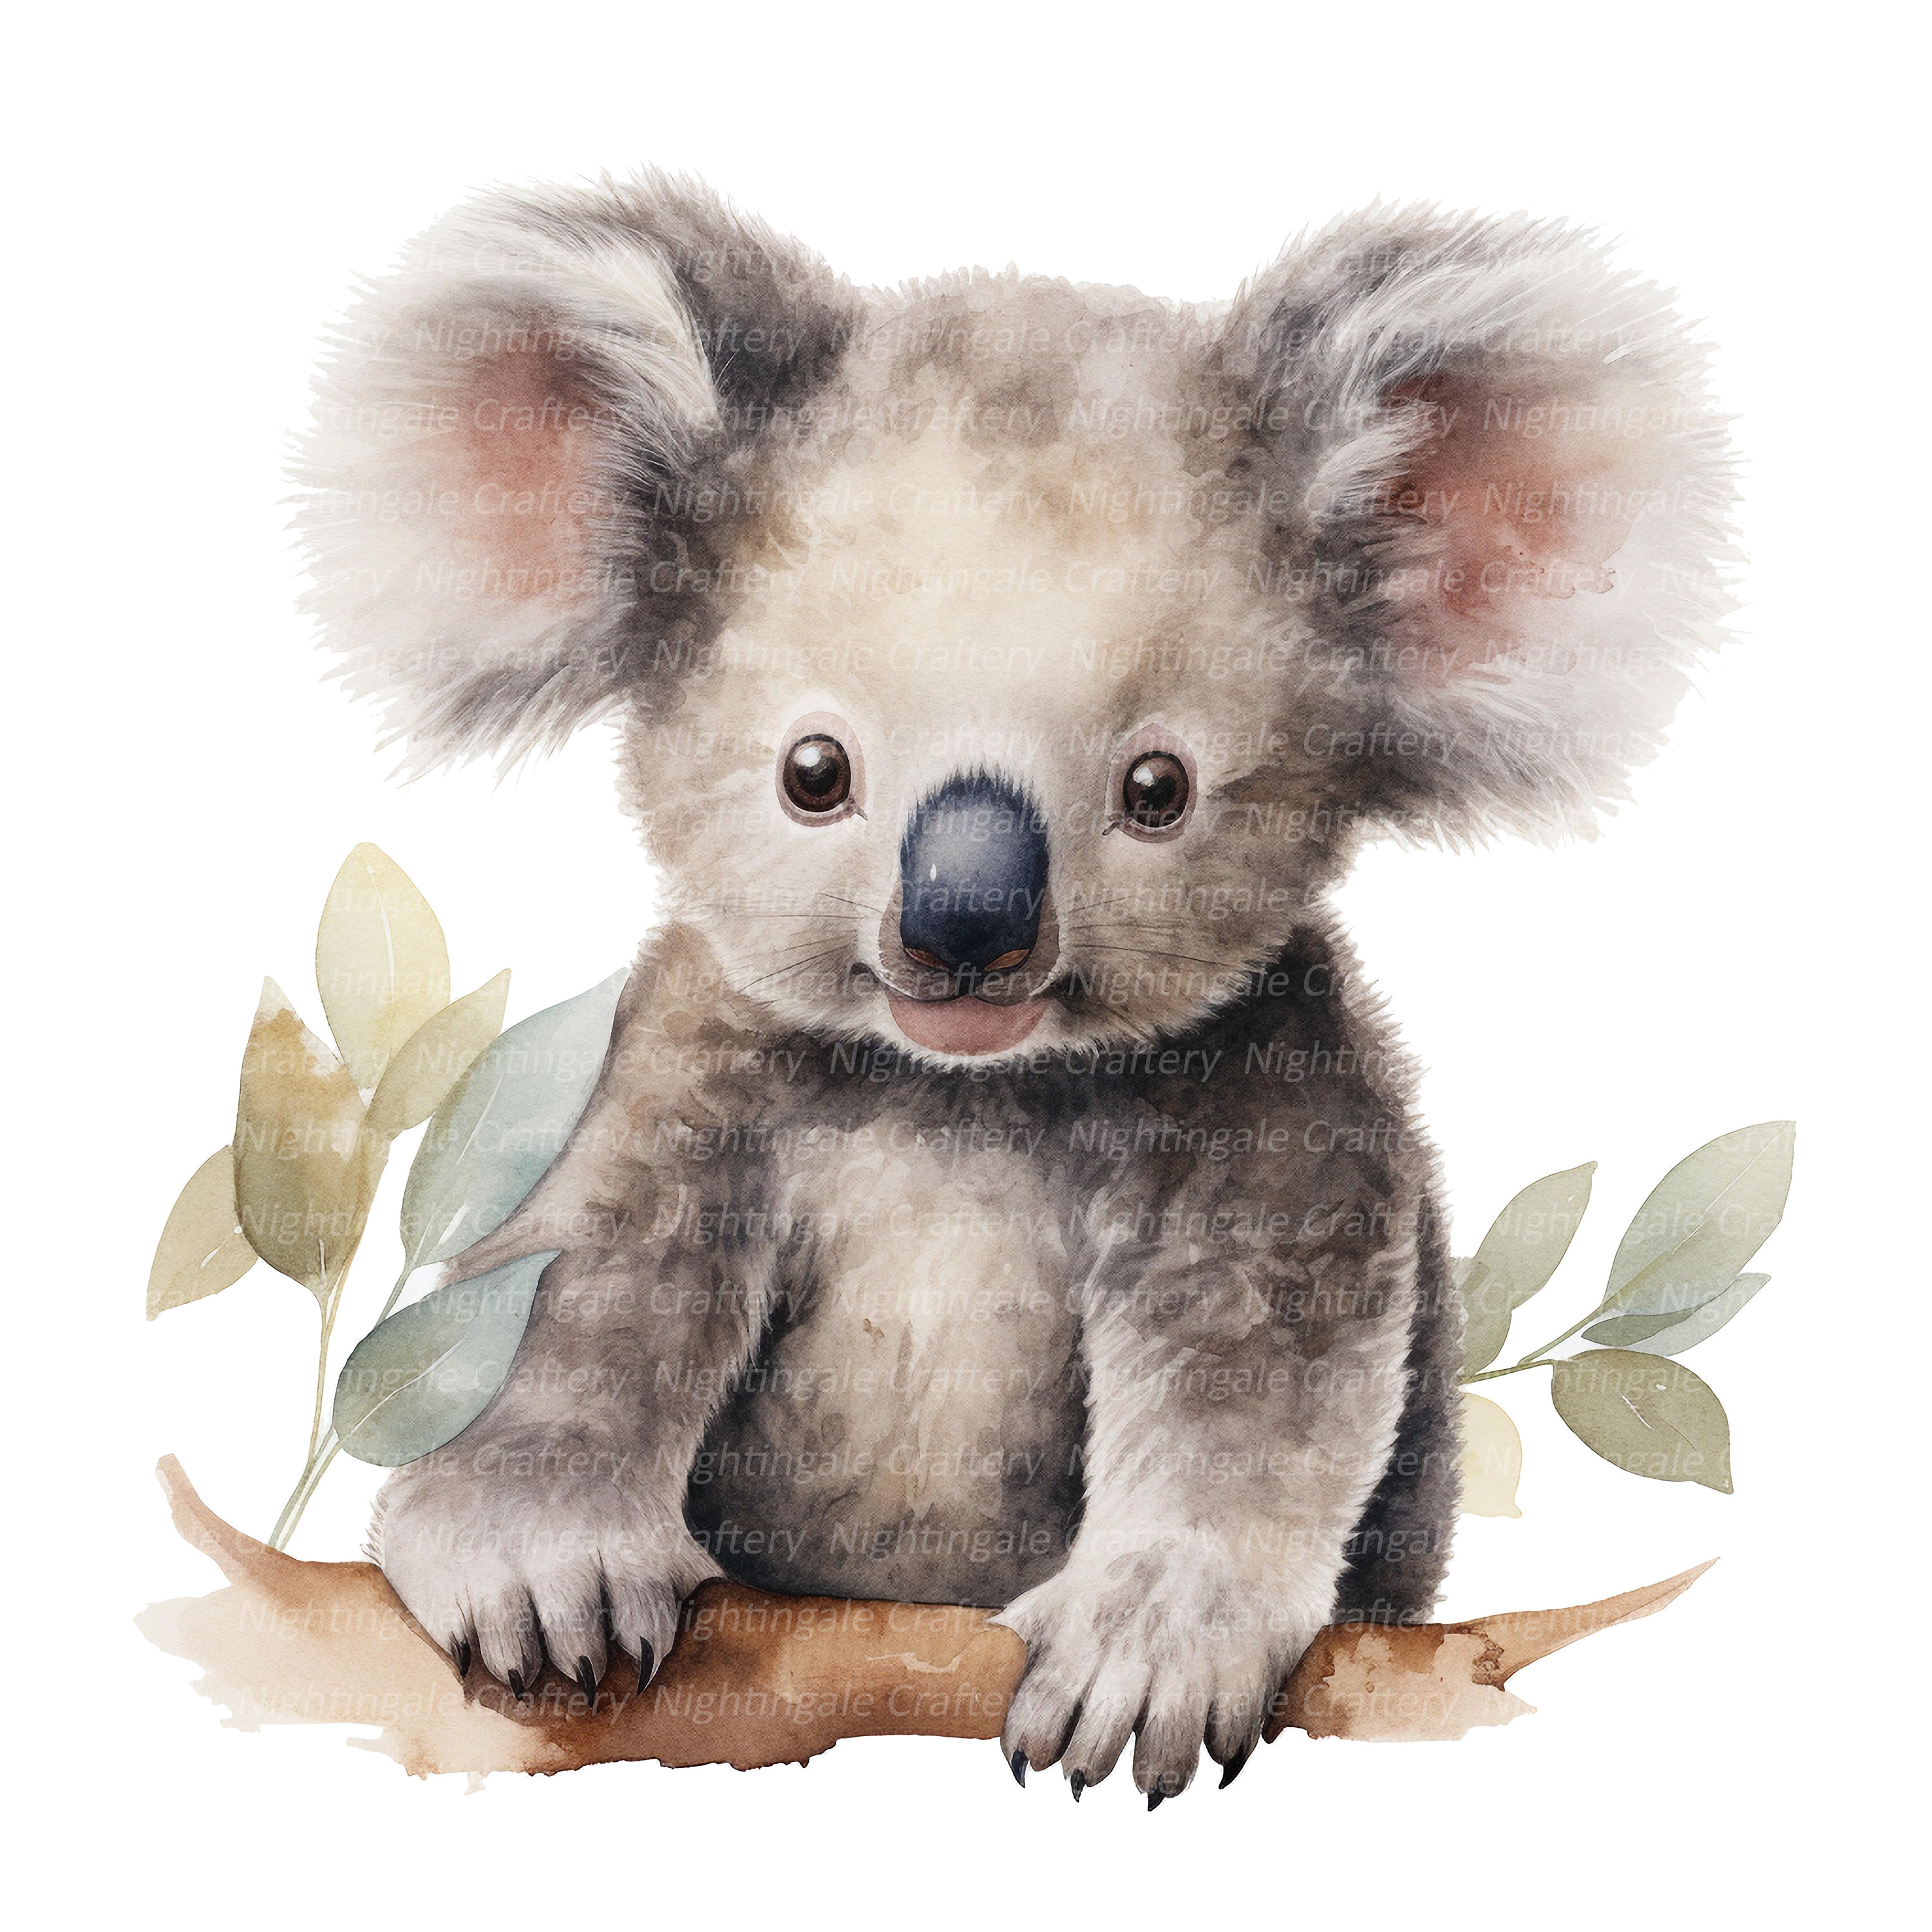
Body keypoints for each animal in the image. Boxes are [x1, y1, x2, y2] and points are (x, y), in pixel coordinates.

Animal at [296, 172, 1732, 1803]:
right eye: (813, 772)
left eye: (1158, 788)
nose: (966, 926)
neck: (961, 1098)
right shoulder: (674, 1082)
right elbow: (574, 1288)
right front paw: (537, 1572)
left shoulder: (1278, 1118)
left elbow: (1254, 1392)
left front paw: (1150, 1646)